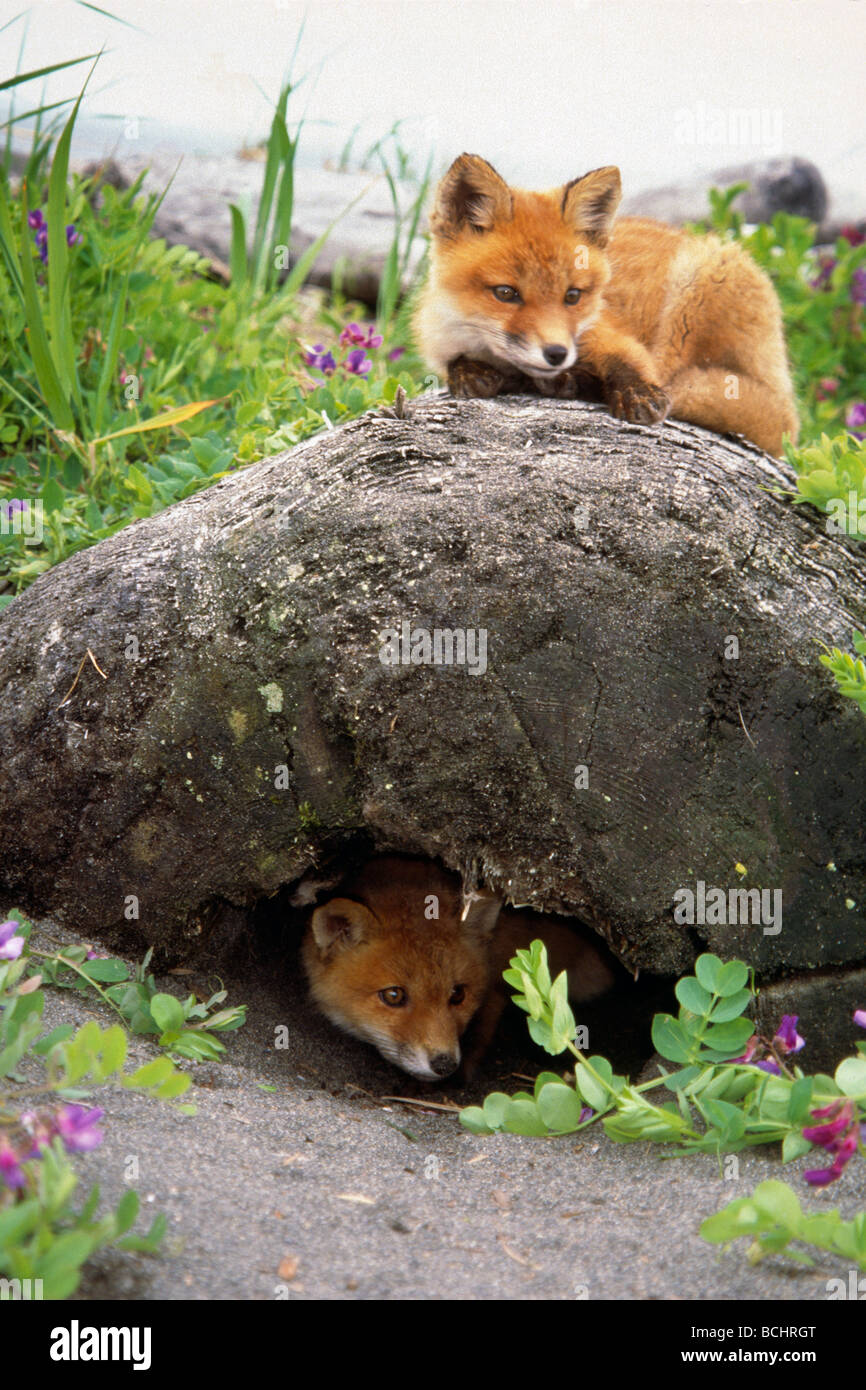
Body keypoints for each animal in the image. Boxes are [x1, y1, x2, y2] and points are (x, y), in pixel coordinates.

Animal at [412, 154, 799, 457]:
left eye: (573, 296)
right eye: (506, 293)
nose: (556, 354)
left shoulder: (606, 334)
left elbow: (628, 362)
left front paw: (635, 393)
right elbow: (457, 365)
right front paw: (472, 372)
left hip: (696, 292)